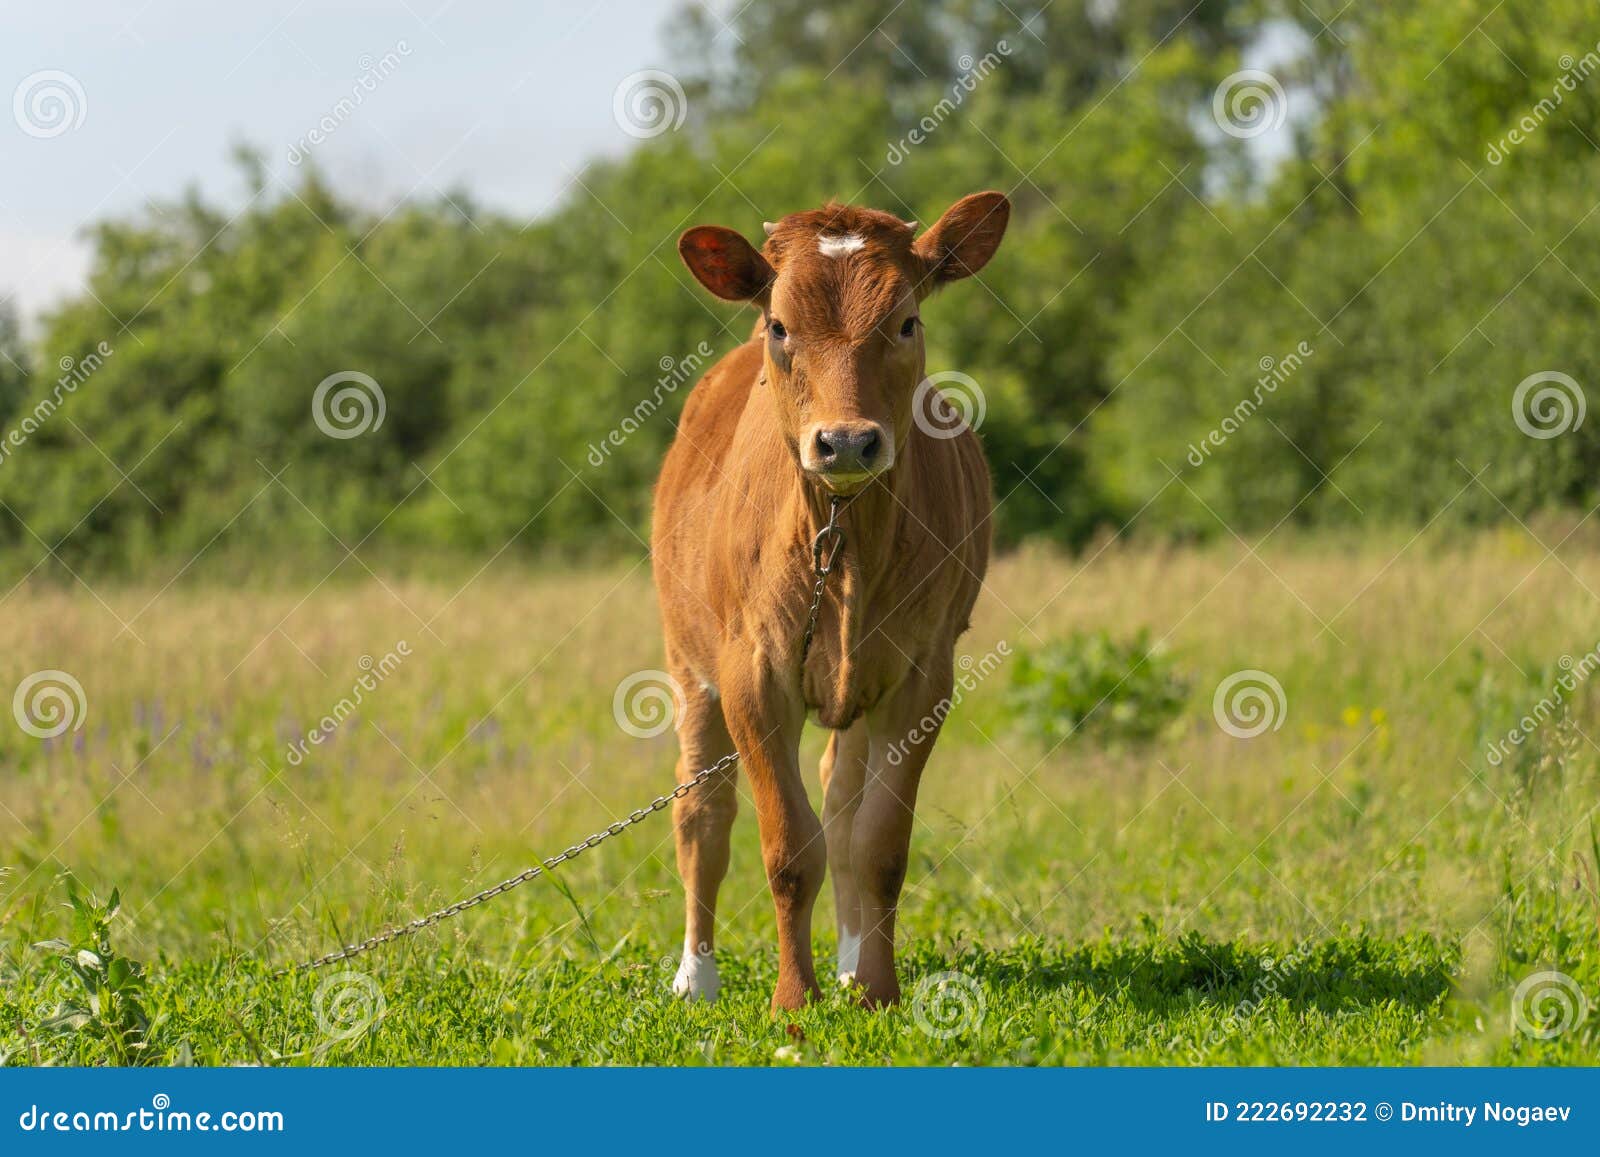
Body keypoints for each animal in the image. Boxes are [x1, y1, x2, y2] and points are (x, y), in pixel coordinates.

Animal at [651, 192, 1008, 1010]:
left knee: (842, 804)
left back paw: (848, 961)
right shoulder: (751, 673)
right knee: (702, 813)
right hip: (687, 660)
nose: (845, 443)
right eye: (780, 326)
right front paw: (792, 997)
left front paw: (875, 988)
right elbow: (787, 846)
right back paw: (696, 976)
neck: (844, 542)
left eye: (906, 321)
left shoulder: (922, 678)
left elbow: (875, 843)